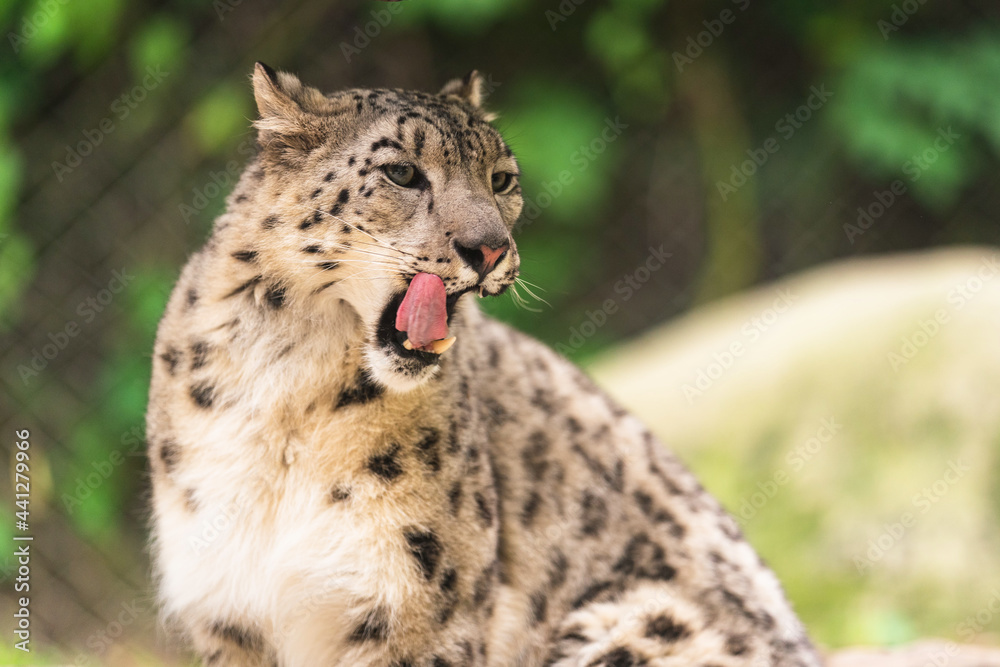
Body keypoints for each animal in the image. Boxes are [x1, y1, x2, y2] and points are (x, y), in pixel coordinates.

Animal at [145, 62, 823, 667]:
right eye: (401, 172)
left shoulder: (417, 609)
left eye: (501, 179)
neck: (289, 390)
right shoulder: (227, 609)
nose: (490, 248)